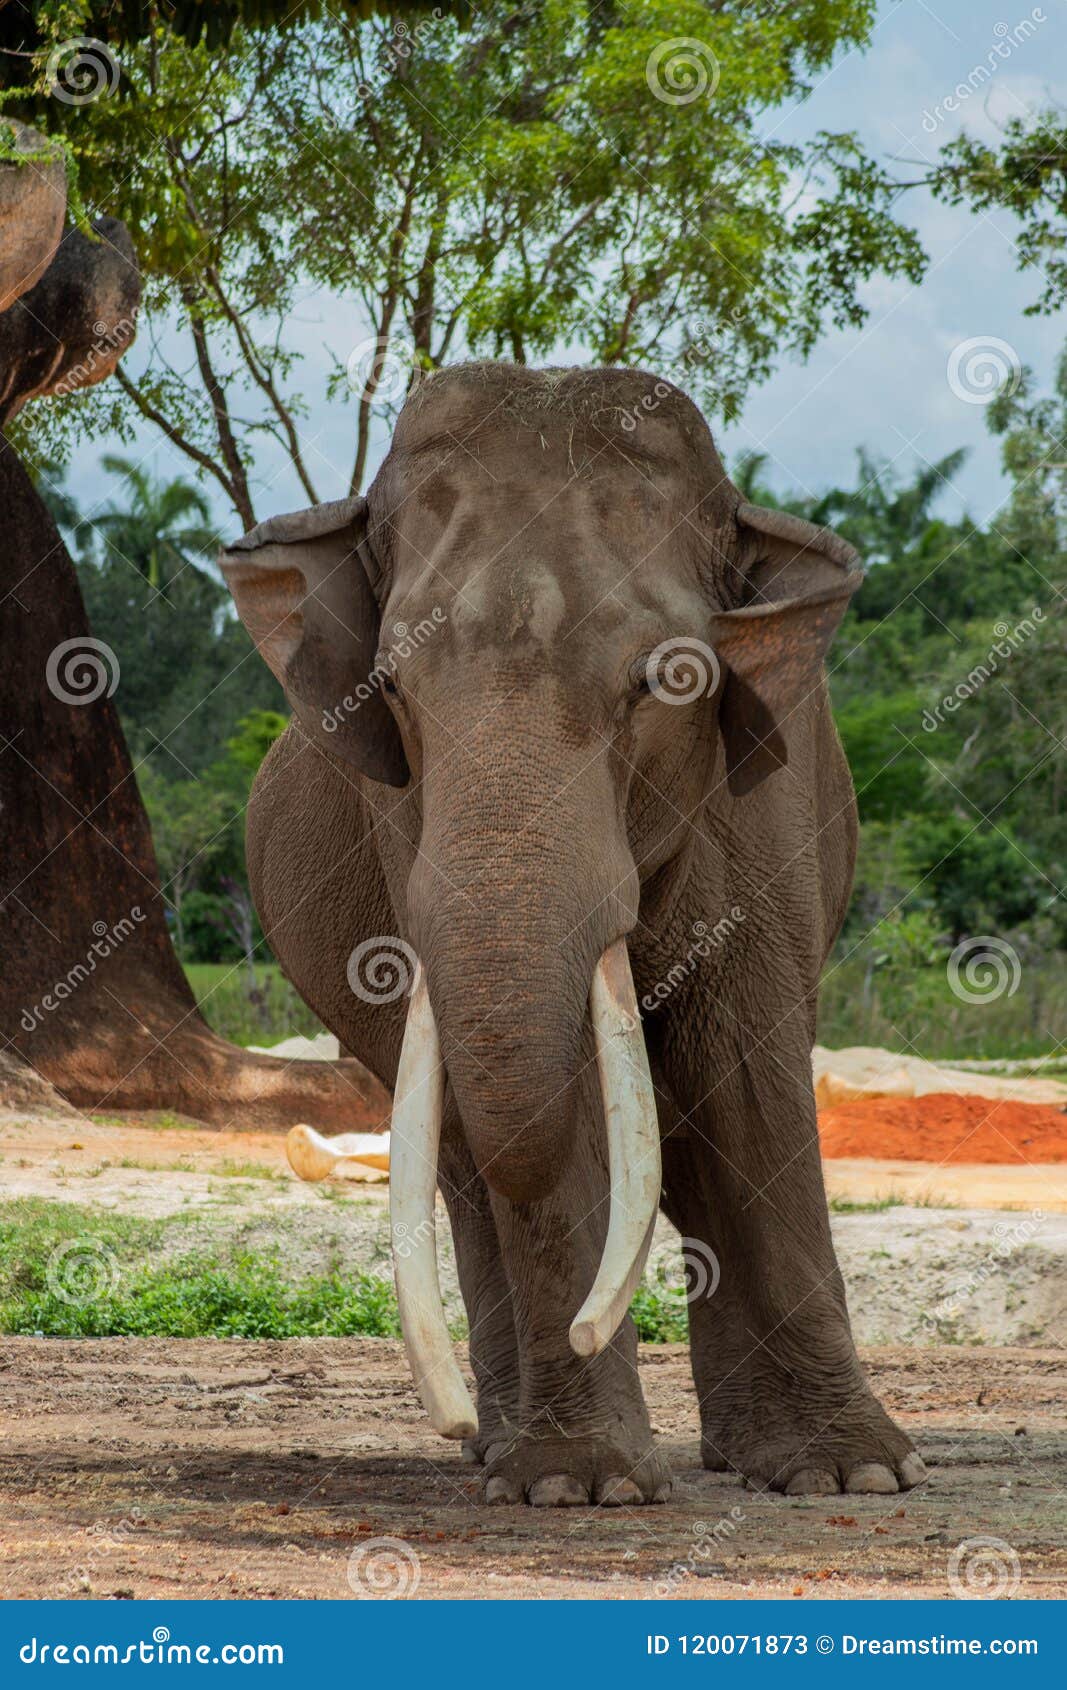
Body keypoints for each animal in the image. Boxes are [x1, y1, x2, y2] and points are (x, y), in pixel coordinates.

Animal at [221, 361, 926, 1508]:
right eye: (392, 689)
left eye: (670, 680)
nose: (595, 1326)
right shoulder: (401, 821)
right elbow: (555, 1119)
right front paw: (577, 1485)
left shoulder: (763, 805)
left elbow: (745, 1074)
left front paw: (854, 1472)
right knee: (466, 1168)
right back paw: (503, 1448)